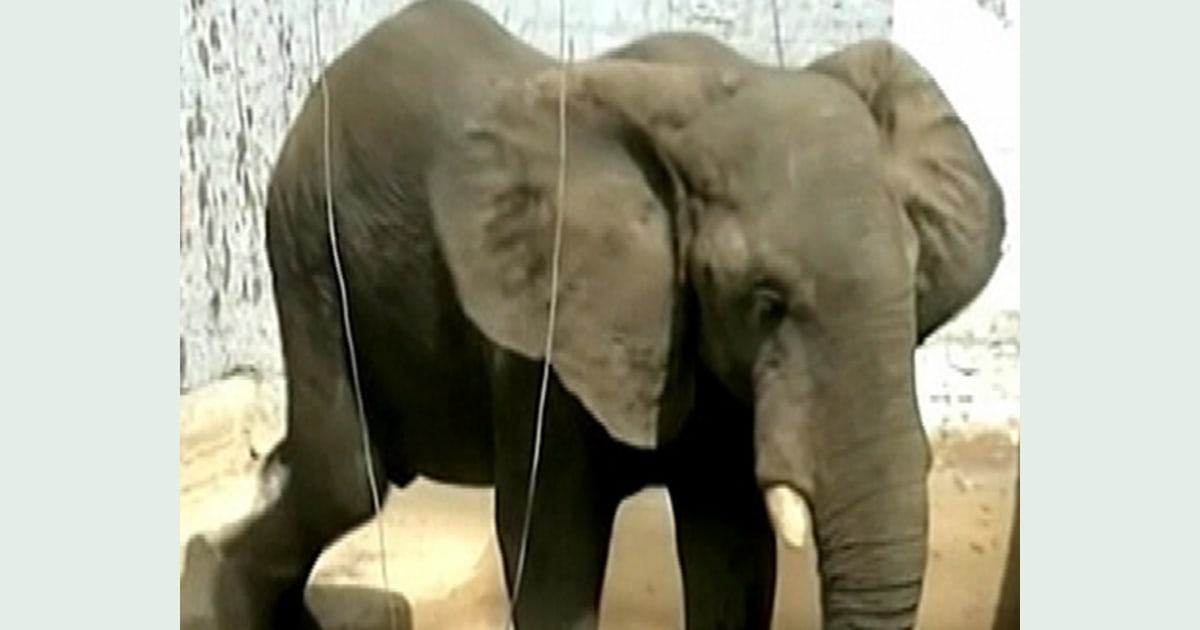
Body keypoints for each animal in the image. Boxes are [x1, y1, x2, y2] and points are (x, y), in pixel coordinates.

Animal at [178, 0, 1005, 629]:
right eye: (765, 302)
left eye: (913, 281)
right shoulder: (542, 342)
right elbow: (552, 557)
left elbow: (732, 555)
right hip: (307, 245)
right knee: (349, 473)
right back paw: (213, 592)